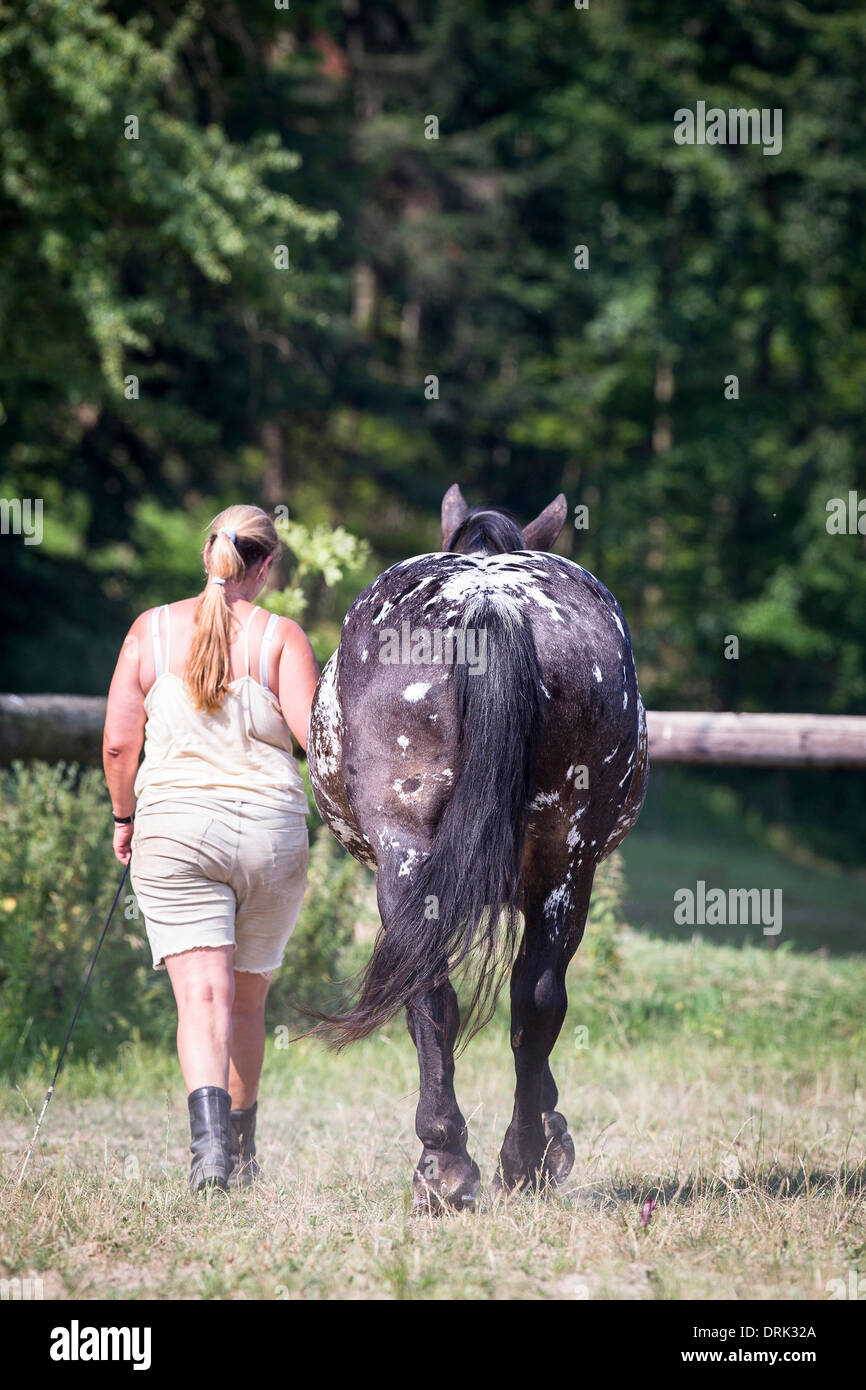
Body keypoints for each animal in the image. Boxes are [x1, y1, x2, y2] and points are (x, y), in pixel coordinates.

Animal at [307, 484, 648, 1209]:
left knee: (447, 993)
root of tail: (490, 601)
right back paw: (497, 1162)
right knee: (529, 995)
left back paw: (462, 1163)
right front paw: (550, 1131)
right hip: (562, 857)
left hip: (422, 856)